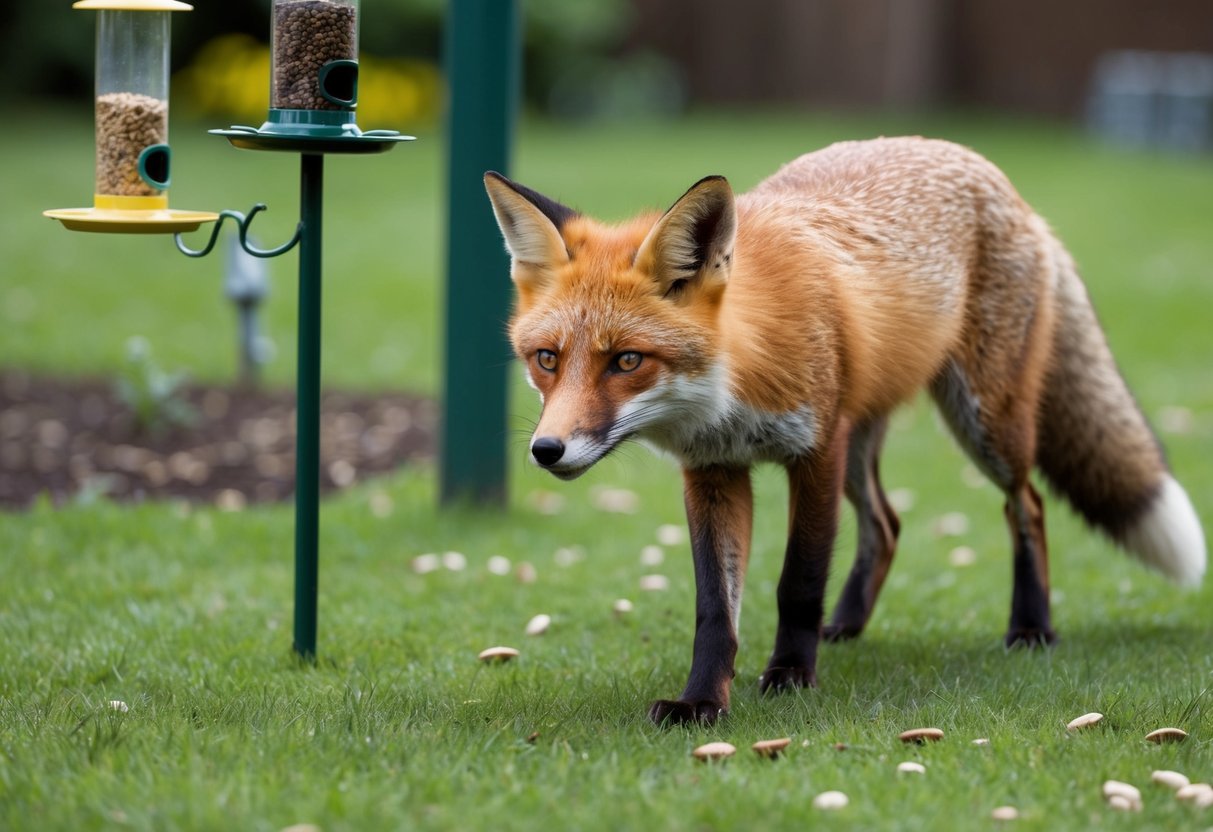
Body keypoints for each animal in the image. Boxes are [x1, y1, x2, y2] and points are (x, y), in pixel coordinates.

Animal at [483, 136, 1206, 726]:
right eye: (546, 359)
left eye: (626, 361)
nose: (546, 450)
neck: (734, 384)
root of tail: (993, 174)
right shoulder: (714, 472)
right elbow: (715, 609)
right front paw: (701, 702)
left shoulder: (815, 453)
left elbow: (798, 581)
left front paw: (788, 676)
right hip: (865, 446)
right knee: (887, 522)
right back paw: (849, 624)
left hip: (983, 424)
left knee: (1024, 503)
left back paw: (1030, 628)